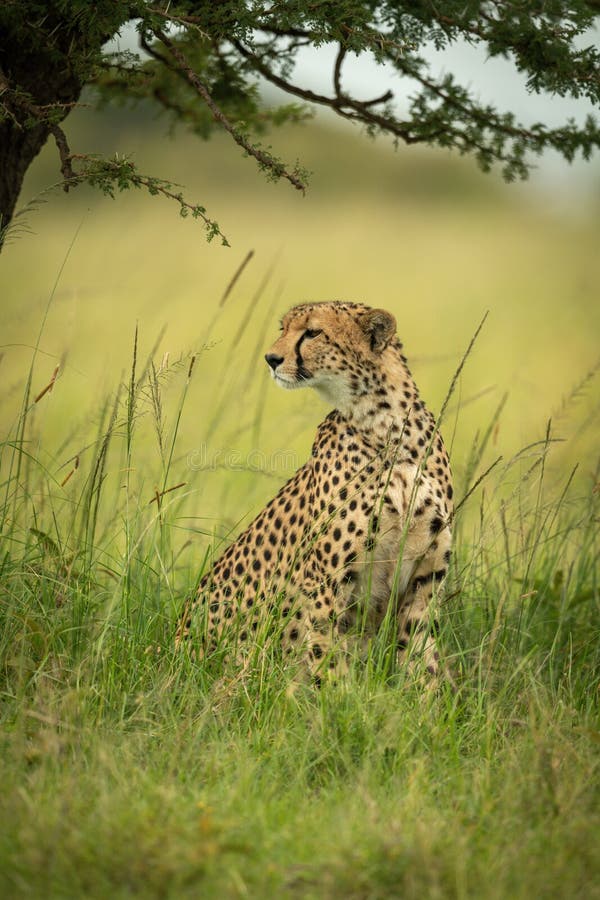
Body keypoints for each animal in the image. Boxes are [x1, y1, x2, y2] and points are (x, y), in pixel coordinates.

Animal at [176, 301, 453, 681]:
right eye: (283, 328)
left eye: (312, 332)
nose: (271, 358)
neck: (389, 430)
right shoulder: (327, 580)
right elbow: (328, 654)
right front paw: (334, 695)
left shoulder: (426, 577)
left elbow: (422, 658)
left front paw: (423, 694)